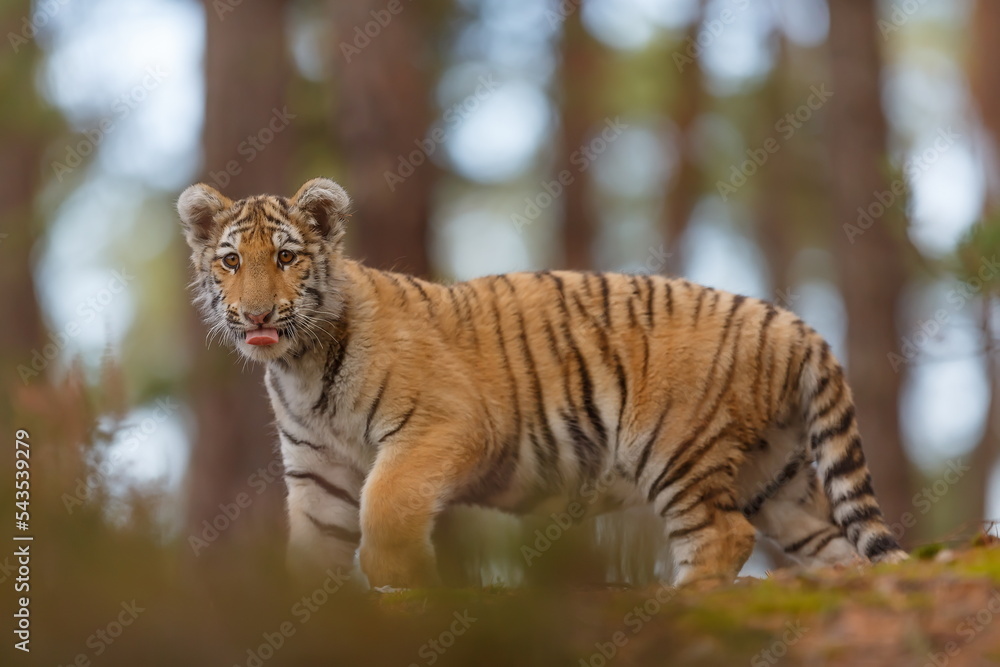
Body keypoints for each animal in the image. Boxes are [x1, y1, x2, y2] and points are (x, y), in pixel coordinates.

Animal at [177, 177, 908, 589]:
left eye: (287, 257)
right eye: (232, 261)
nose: (258, 315)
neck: (299, 365)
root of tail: (788, 320)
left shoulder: (441, 429)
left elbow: (385, 509)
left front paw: (403, 584)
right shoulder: (318, 473)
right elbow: (309, 560)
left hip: (677, 447)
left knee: (722, 535)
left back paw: (679, 603)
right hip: (773, 476)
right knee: (835, 545)